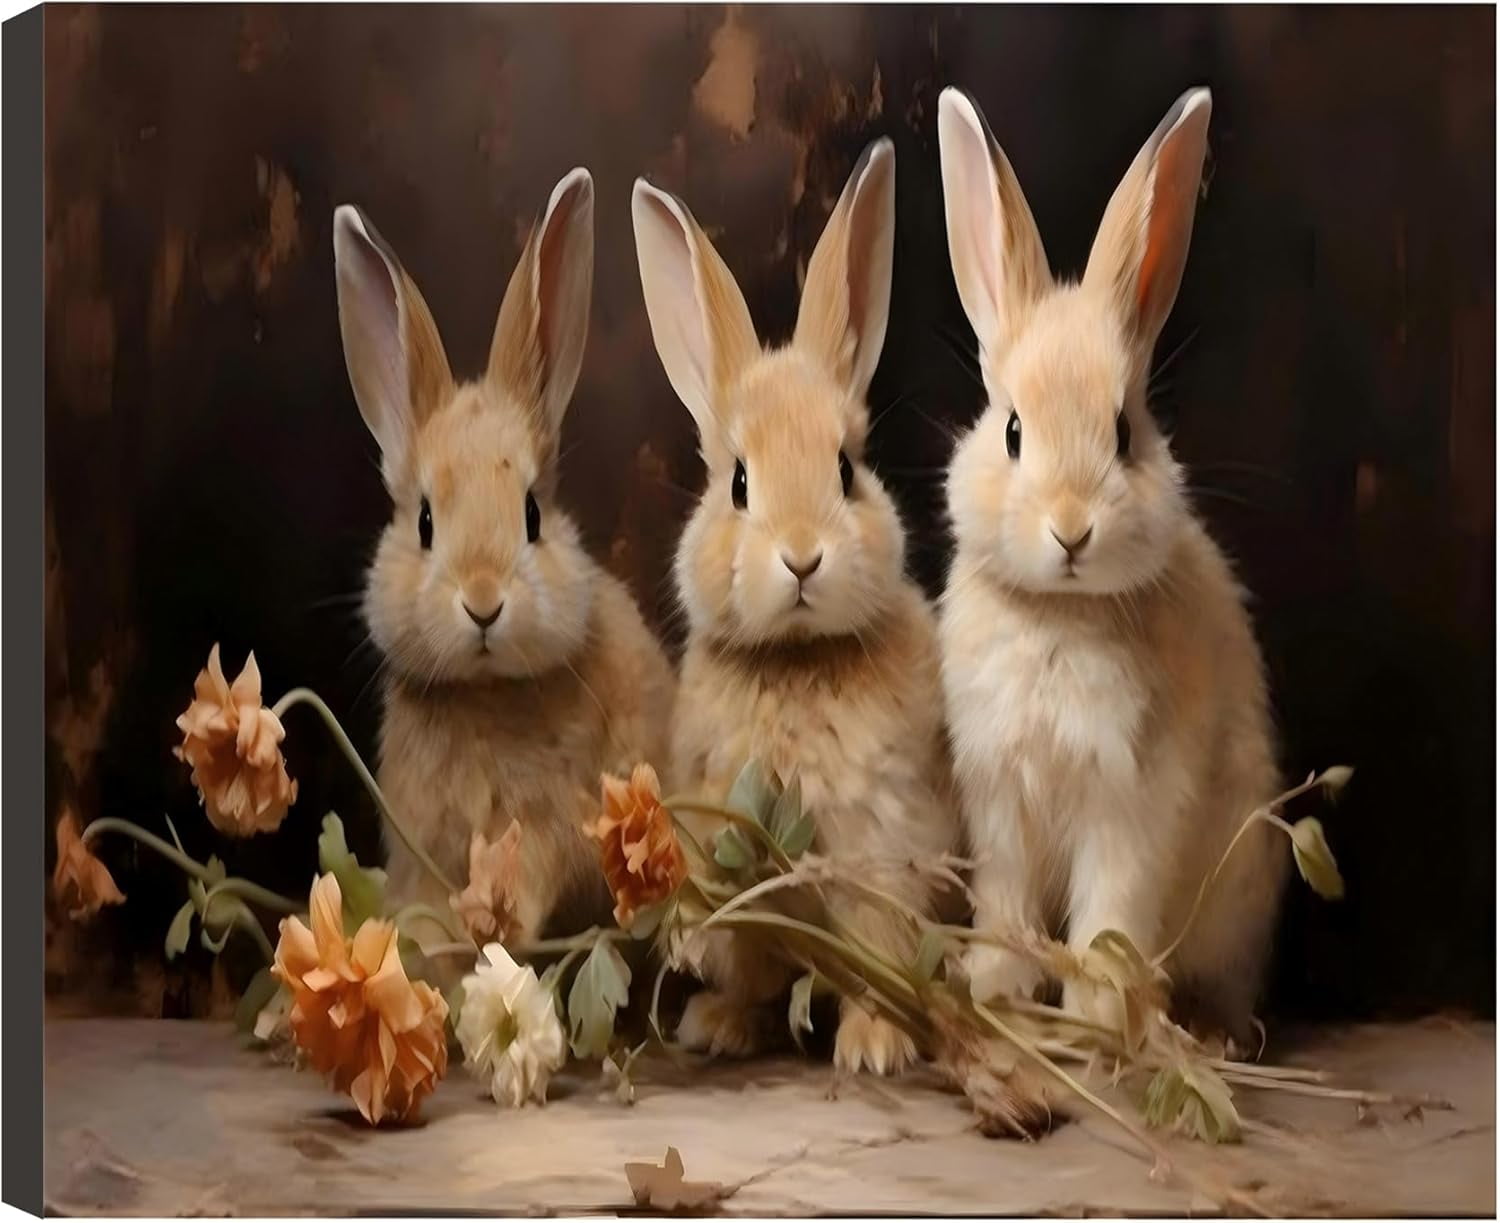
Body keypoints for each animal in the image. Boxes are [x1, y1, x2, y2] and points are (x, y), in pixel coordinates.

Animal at [332, 168, 675, 969]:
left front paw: (501, 922)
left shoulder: (560, 817)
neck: (484, 692)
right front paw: (426, 949)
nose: (484, 601)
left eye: (531, 515)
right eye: (425, 522)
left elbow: (542, 860)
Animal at [631, 139, 960, 1075]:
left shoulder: (881, 848)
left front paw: (875, 1046)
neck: (797, 657)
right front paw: (713, 1004)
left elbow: (879, 952)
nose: (803, 555)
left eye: (847, 469)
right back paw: (720, 1024)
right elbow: (738, 947)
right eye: (739, 482)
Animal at [934, 86, 1287, 1041]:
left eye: (1125, 432)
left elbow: (1111, 909)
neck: (1057, 613)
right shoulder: (998, 797)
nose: (1070, 529)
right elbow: (1008, 900)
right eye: (1013, 431)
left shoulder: (1128, 801)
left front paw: (1093, 1010)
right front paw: (996, 987)